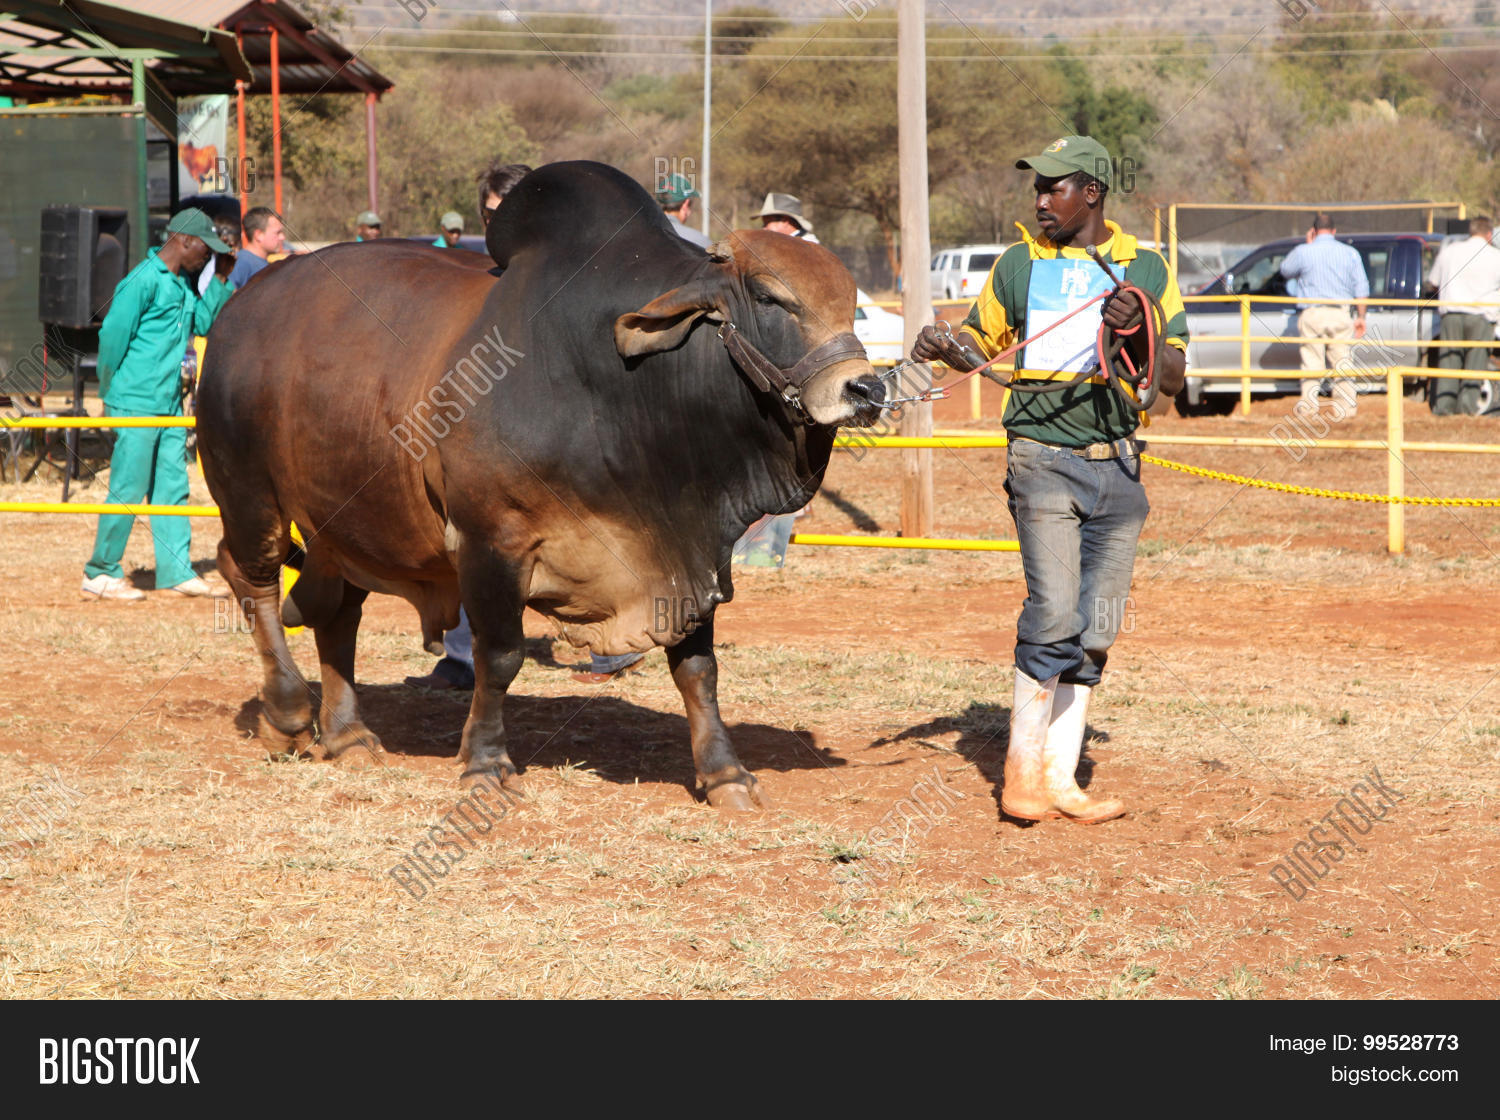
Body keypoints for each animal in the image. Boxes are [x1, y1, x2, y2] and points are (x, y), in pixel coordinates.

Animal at [196, 160, 886, 810]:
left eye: (850, 298)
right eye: (770, 297)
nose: (866, 389)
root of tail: (241, 305)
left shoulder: (690, 552)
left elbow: (698, 667)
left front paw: (725, 774)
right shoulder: (492, 541)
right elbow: (499, 657)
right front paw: (485, 763)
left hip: (350, 524)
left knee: (337, 614)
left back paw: (347, 735)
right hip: (249, 495)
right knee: (251, 580)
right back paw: (288, 713)